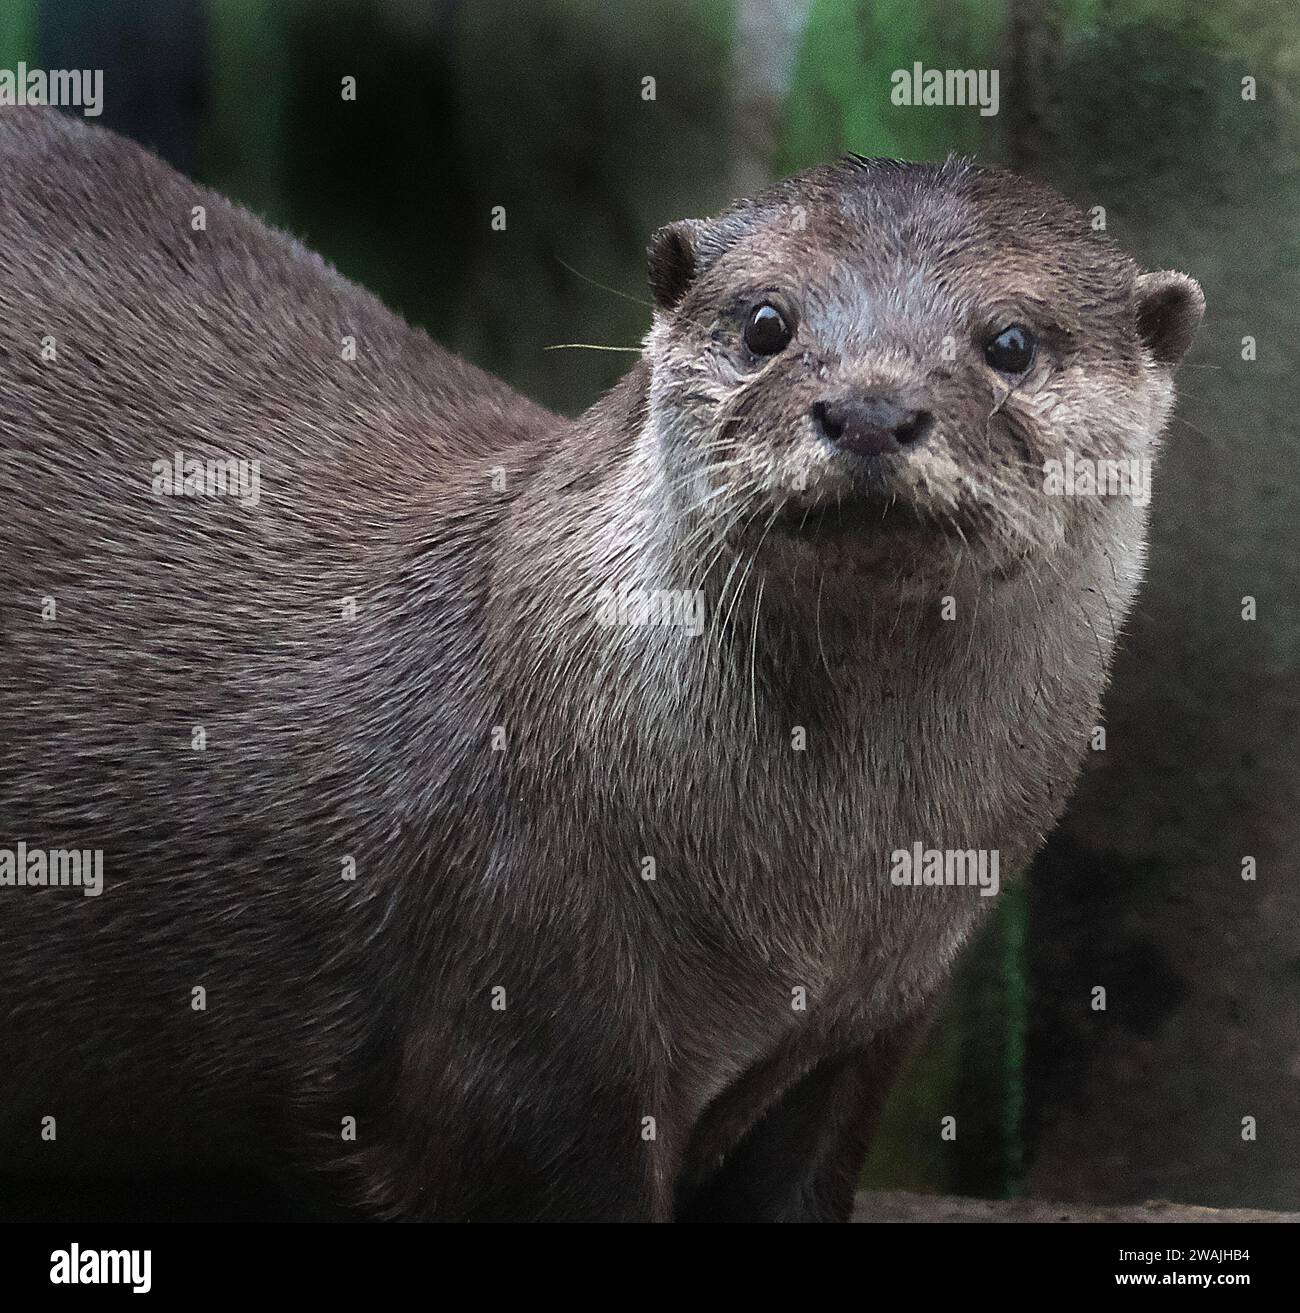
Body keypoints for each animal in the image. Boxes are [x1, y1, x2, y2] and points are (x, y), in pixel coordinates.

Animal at [0, 109, 1201, 1222]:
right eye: (767, 322)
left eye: (1010, 343)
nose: (868, 407)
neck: (816, 902)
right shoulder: (521, 1033)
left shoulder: (871, 1025)